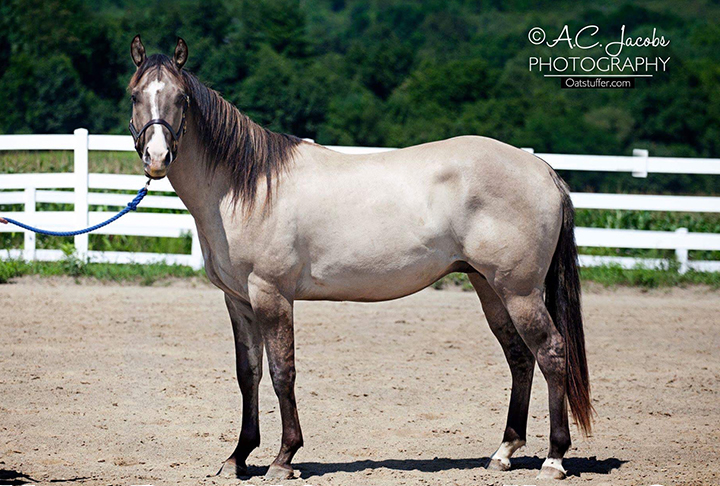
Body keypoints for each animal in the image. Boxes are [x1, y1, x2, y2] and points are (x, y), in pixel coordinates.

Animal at [126, 36, 592, 481]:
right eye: (134, 95)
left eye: (181, 98)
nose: (156, 158)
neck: (248, 187)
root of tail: (543, 170)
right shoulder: (238, 300)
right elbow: (249, 374)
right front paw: (238, 458)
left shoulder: (271, 295)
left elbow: (282, 372)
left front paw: (283, 458)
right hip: (489, 286)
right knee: (519, 357)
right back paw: (503, 453)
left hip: (520, 290)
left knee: (551, 352)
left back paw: (554, 459)